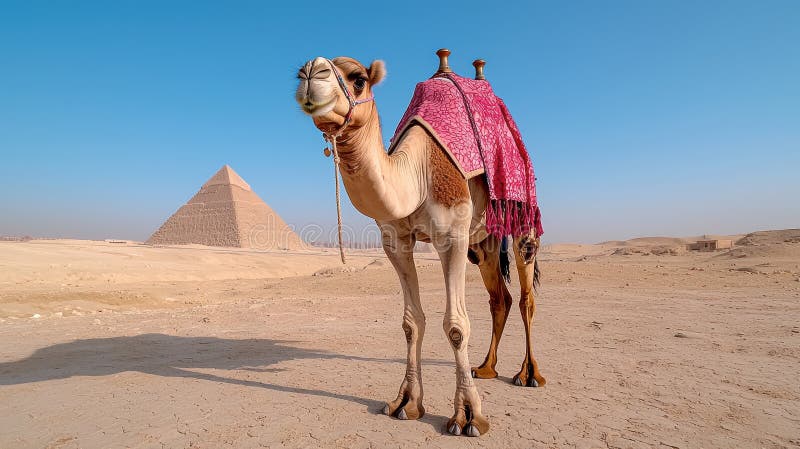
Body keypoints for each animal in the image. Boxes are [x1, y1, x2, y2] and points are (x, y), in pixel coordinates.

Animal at [294, 53, 545, 437]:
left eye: (358, 79)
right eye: (298, 74)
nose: (311, 71)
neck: (418, 172)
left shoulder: (452, 237)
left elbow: (456, 325)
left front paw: (468, 416)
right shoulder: (396, 242)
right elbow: (412, 322)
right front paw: (406, 403)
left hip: (523, 219)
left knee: (525, 296)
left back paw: (529, 374)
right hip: (483, 242)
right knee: (498, 298)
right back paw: (486, 368)